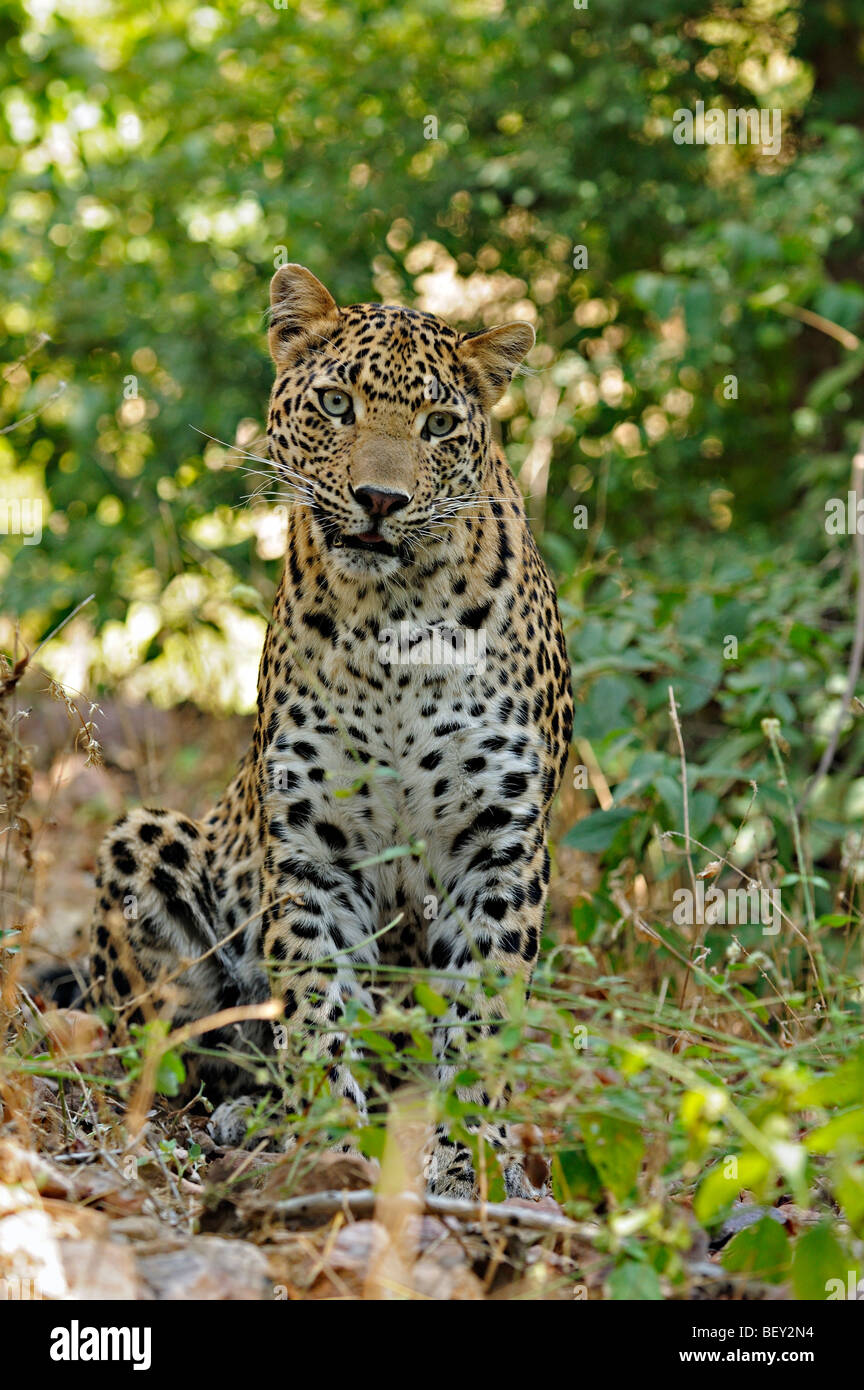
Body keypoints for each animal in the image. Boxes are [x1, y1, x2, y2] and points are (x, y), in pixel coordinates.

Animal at [89, 264, 573, 1199]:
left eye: (439, 425)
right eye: (337, 404)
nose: (380, 500)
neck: (395, 616)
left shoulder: (500, 841)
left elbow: (483, 1011)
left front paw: (473, 1154)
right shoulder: (311, 843)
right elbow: (315, 999)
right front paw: (324, 1134)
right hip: (147, 837)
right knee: (200, 1049)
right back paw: (254, 1114)